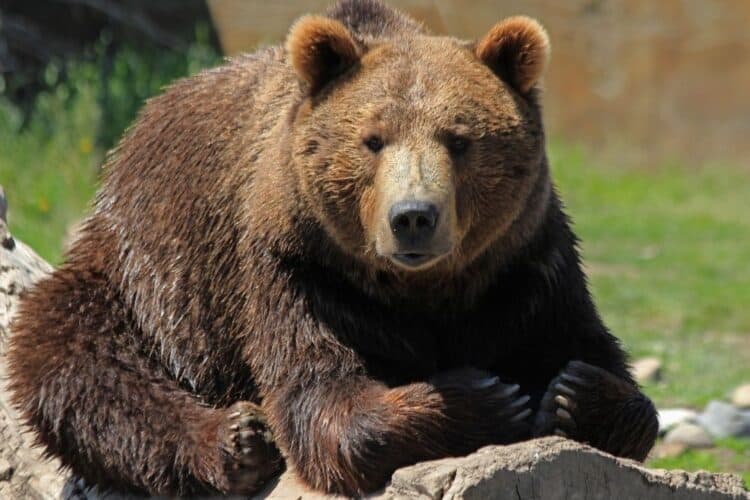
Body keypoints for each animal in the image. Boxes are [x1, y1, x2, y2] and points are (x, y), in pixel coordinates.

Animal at [7, 0, 658, 496]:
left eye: (459, 139)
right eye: (373, 140)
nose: (413, 218)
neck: (424, 290)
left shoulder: (525, 264)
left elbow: (594, 355)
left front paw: (576, 393)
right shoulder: (297, 268)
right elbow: (323, 398)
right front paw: (483, 398)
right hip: (144, 275)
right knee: (73, 358)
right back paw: (237, 441)